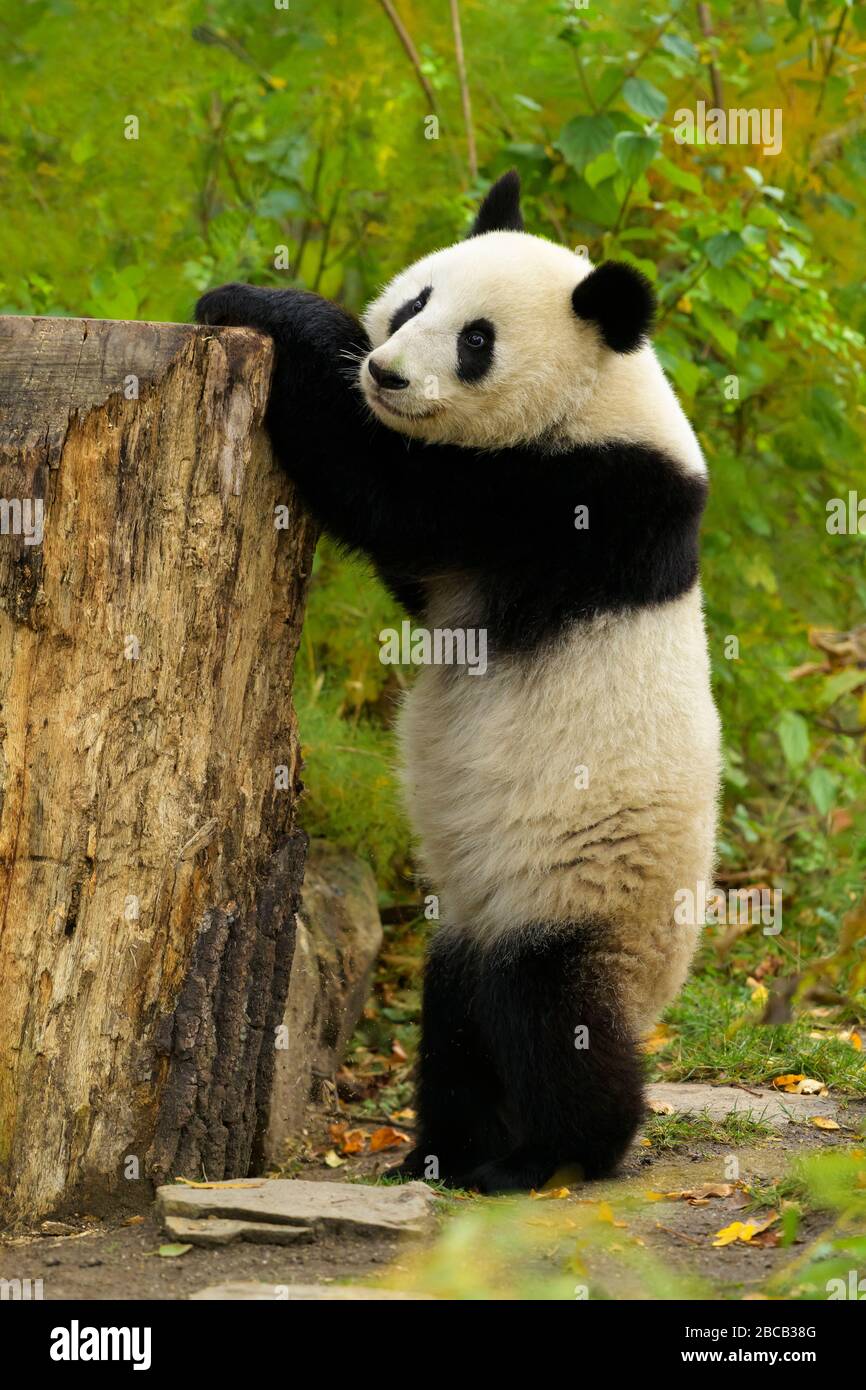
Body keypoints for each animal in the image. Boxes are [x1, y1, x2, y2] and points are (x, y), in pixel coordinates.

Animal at [197, 170, 722, 1194]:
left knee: (550, 1013)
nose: (388, 374)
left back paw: (560, 1154)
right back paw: (443, 1153)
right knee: (458, 1020)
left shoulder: (571, 496)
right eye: (415, 303)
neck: (602, 392)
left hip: (579, 891)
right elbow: (405, 550)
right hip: (472, 916)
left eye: (477, 342)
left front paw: (257, 305)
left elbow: (390, 490)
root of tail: (662, 979)